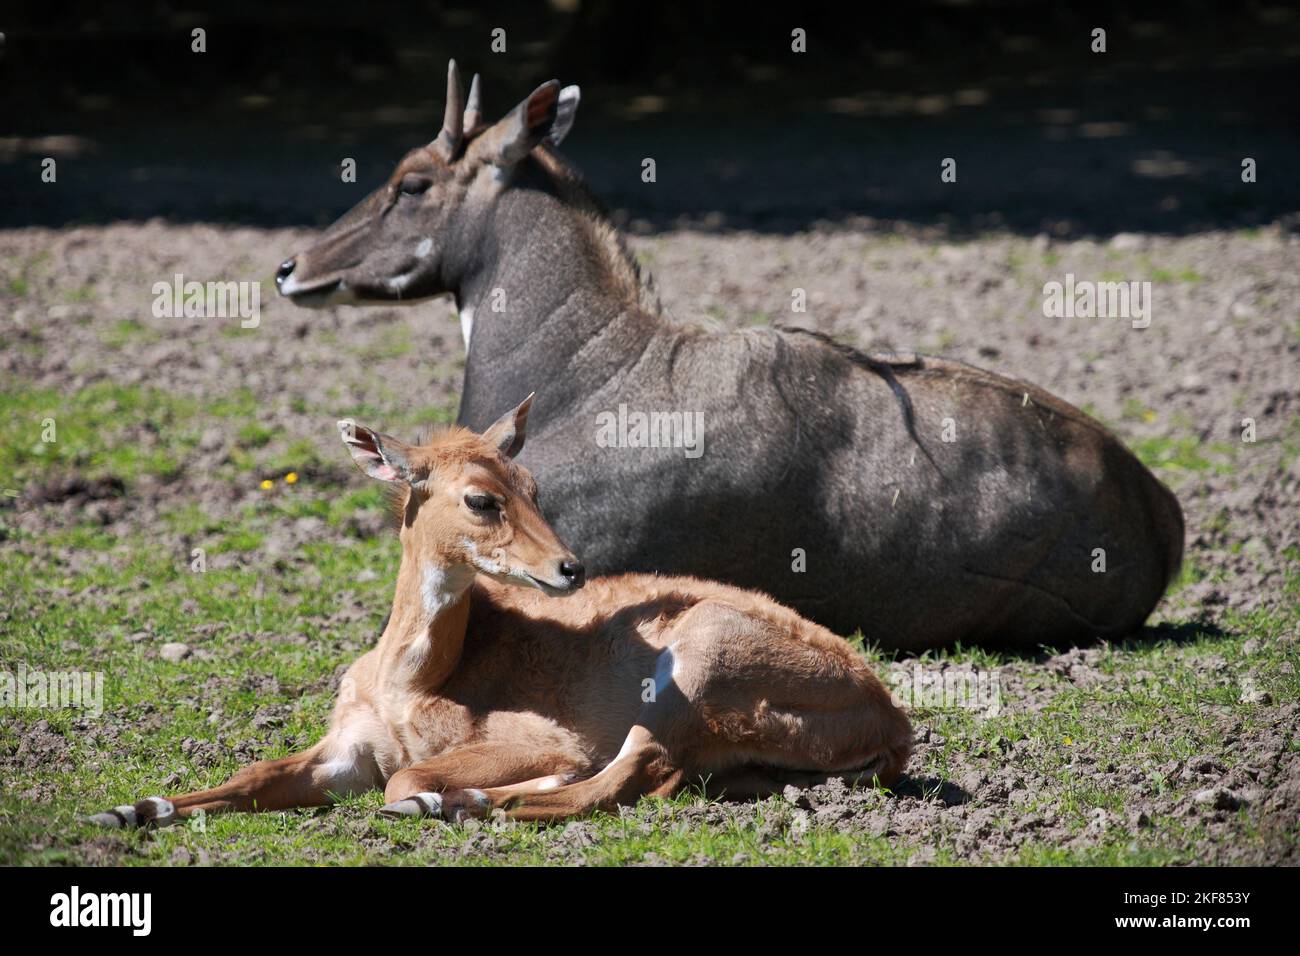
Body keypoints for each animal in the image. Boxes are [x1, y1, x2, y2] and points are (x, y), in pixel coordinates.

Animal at [90, 397, 912, 827]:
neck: (411, 681)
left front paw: (438, 797)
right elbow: (256, 772)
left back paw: (477, 802)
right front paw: (127, 810)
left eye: (533, 486)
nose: (569, 567)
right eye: (482, 498)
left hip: (698, 664)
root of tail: (892, 723)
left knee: (632, 769)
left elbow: (407, 778)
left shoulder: (538, 735)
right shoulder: (345, 748)